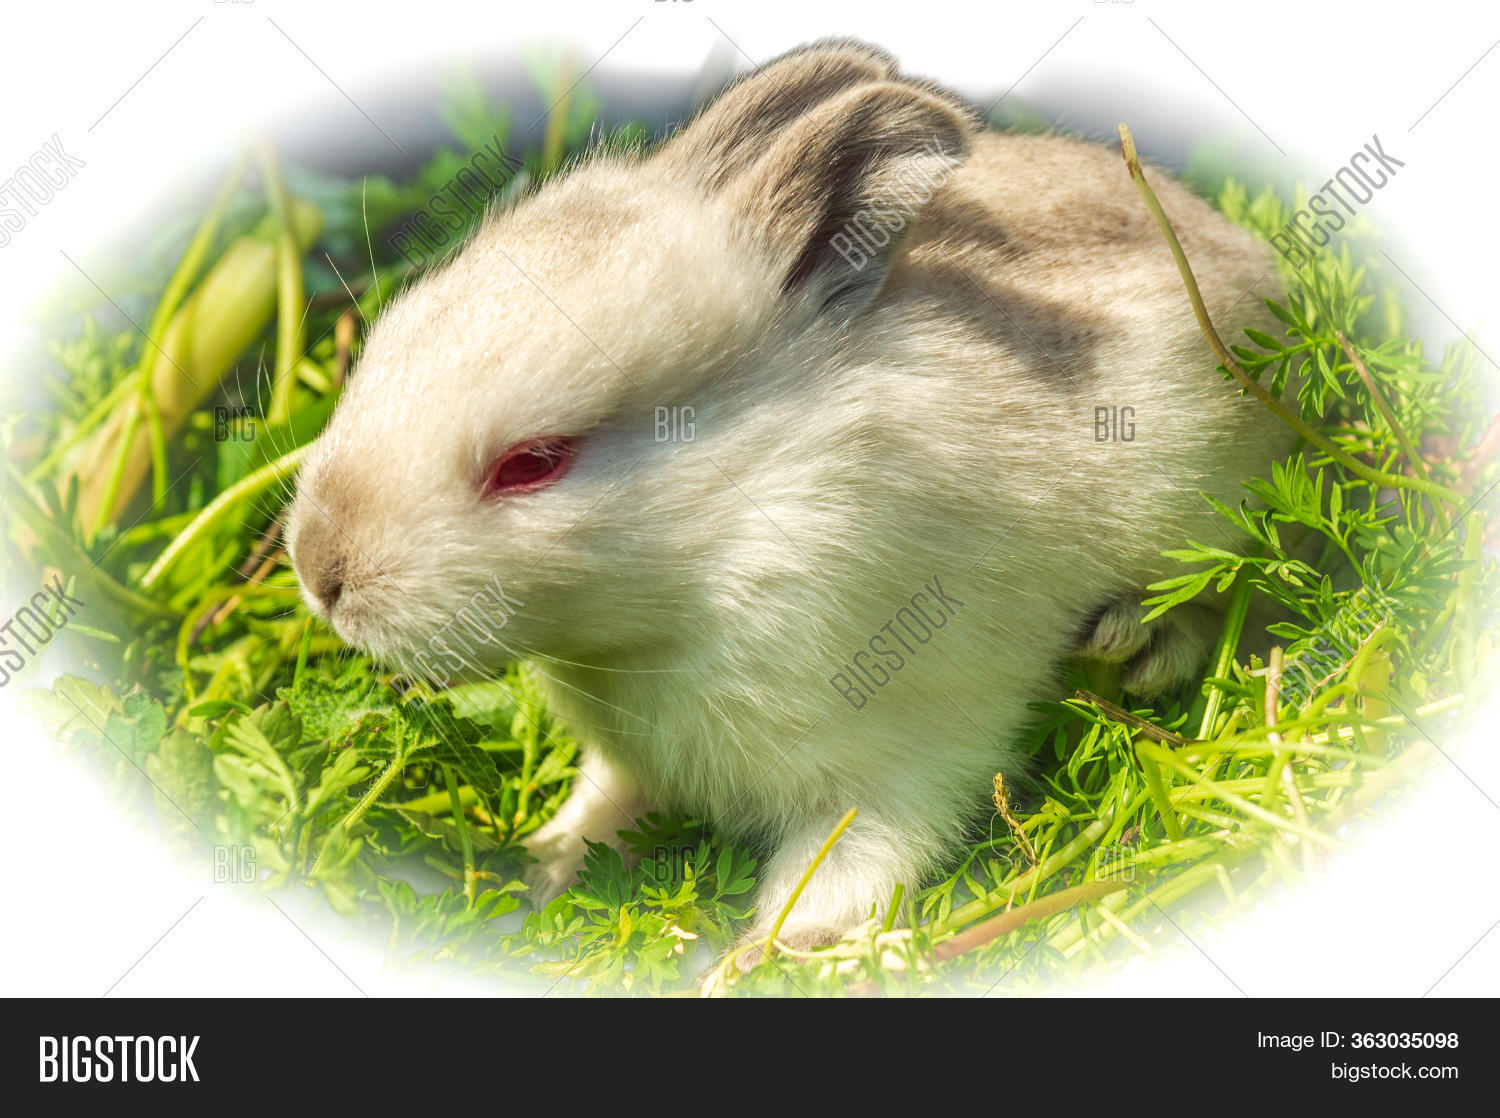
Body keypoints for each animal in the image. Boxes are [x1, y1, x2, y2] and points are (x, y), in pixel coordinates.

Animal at [285, 39, 1295, 959]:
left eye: (534, 462)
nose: (320, 572)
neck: (737, 517)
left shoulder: (902, 758)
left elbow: (846, 869)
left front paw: (754, 960)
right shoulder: (632, 759)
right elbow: (602, 805)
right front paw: (549, 869)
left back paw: (1136, 642)